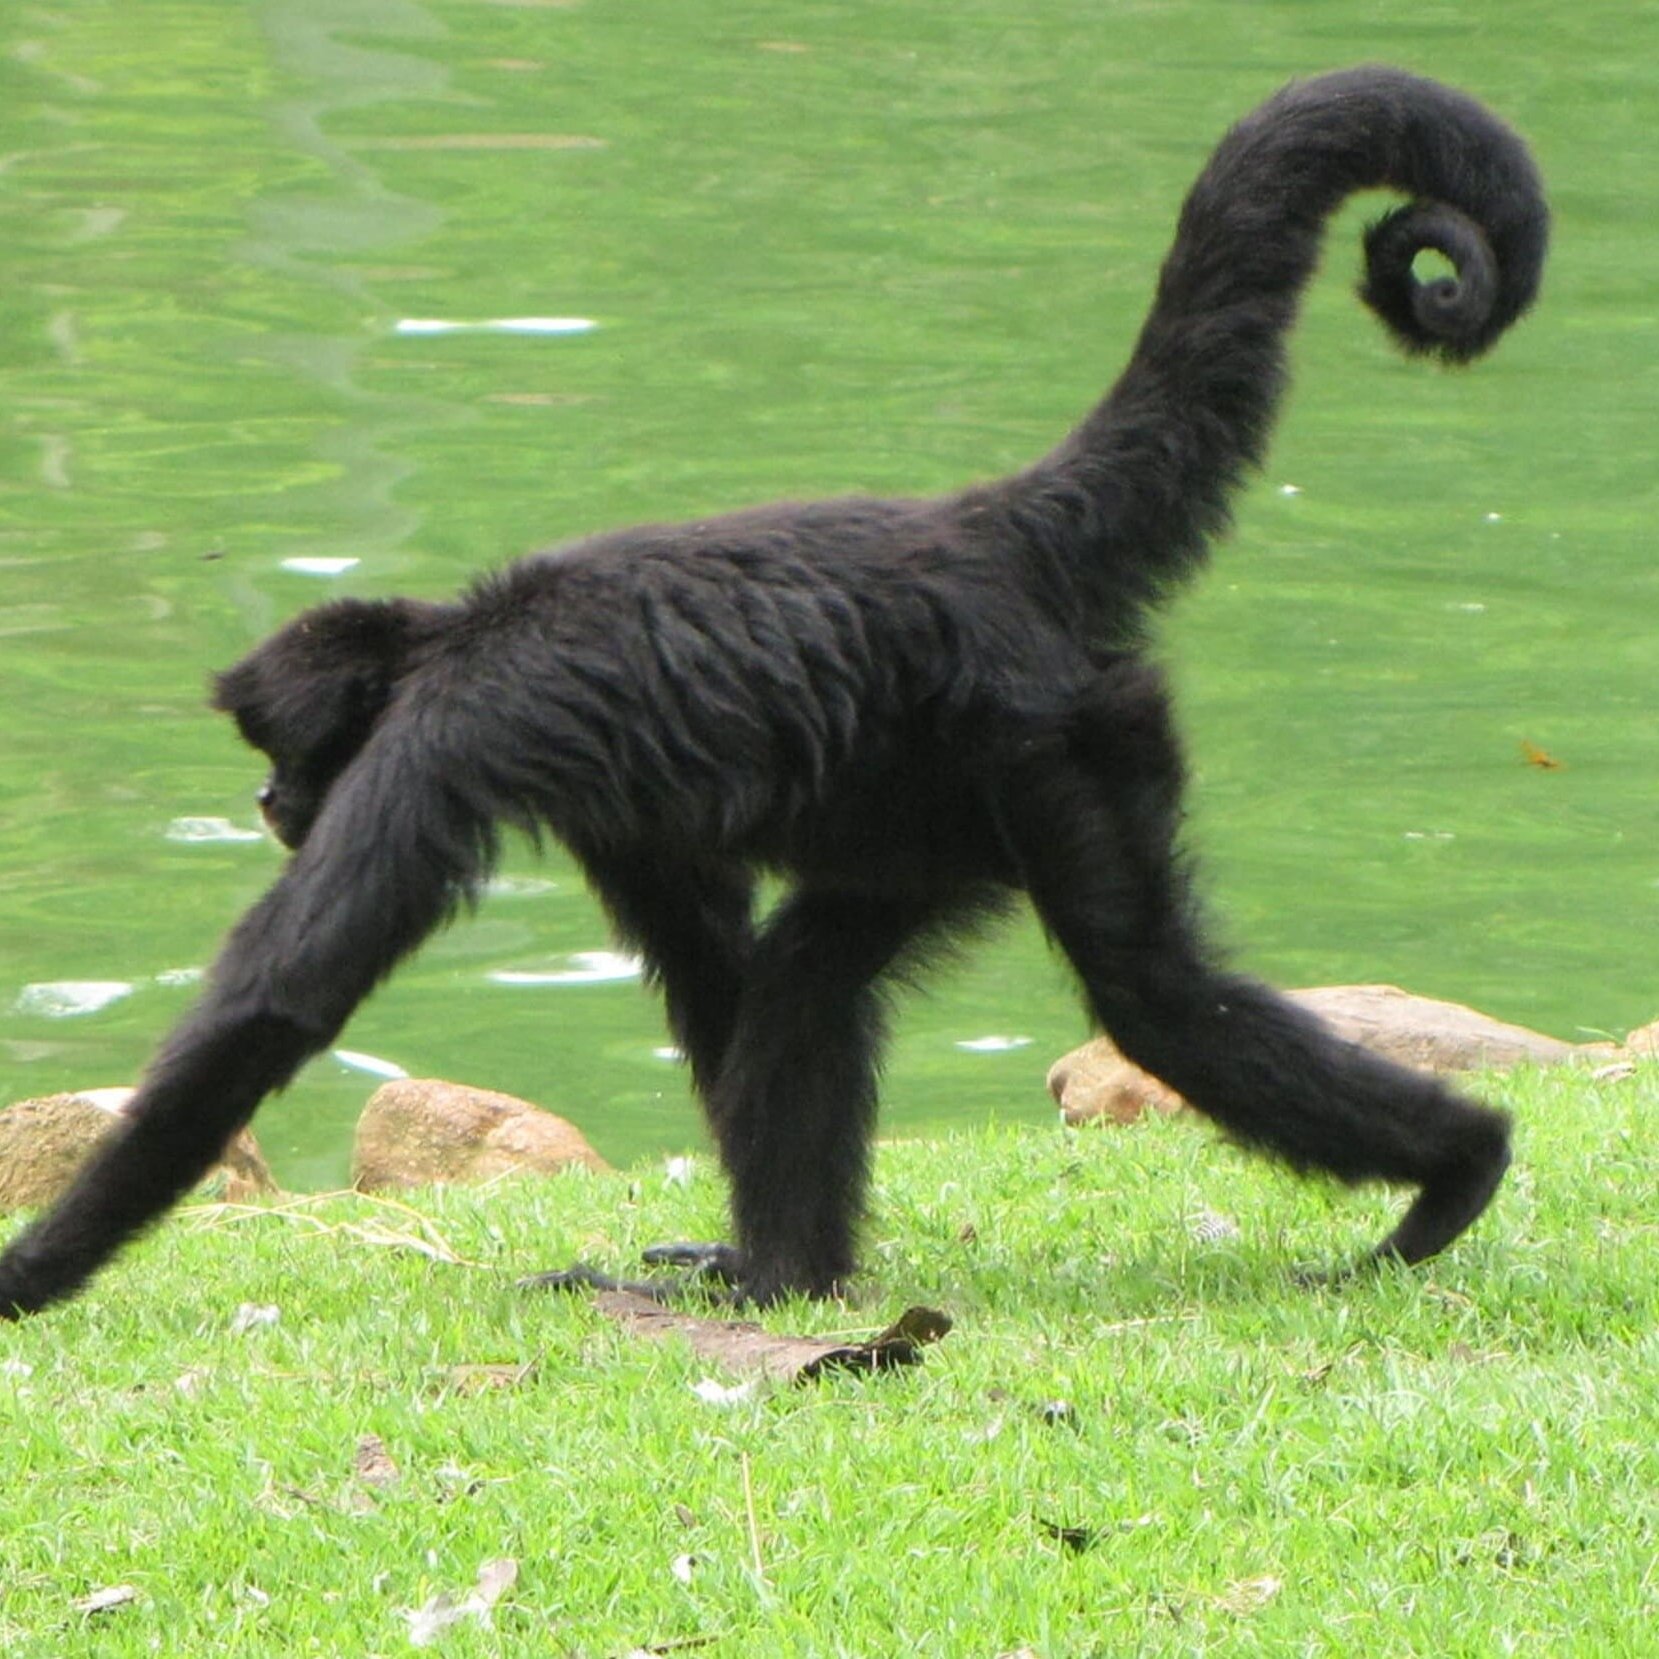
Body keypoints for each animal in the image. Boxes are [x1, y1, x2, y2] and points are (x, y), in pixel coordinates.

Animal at [0, 67, 1547, 1319]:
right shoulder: (609, 813)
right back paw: (784, 1275)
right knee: (810, 973)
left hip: (1052, 736)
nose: (268, 797)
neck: (454, 636)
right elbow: (717, 977)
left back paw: (1461, 1165)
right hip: (936, 800)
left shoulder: (439, 742)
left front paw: (28, 1275)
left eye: (276, 746)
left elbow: (276, 1005)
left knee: (1151, 996)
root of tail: (982, 527)